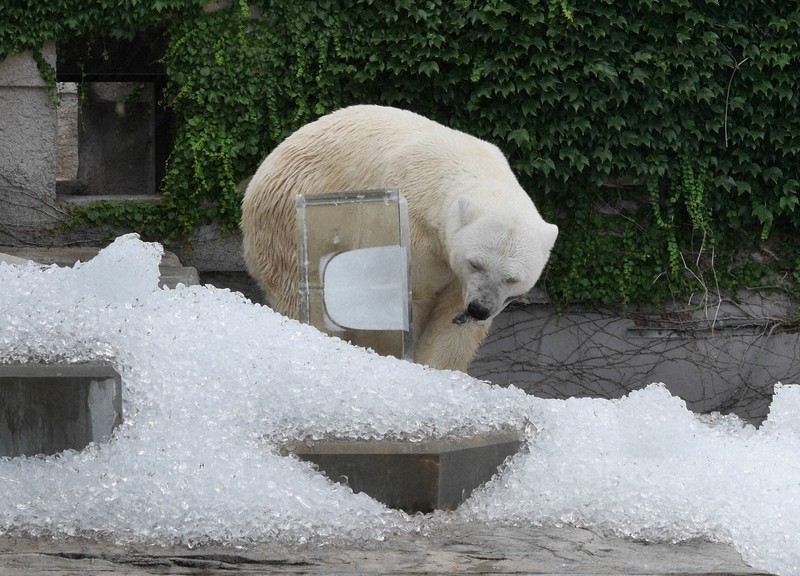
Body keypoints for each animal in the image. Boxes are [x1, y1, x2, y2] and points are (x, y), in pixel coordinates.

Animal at [241, 105, 558, 372]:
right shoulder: (414, 227)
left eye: (512, 278)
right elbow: (396, 297)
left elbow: (453, 322)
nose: (480, 308)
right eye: (476, 263)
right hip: (290, 222)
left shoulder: (458, 274)